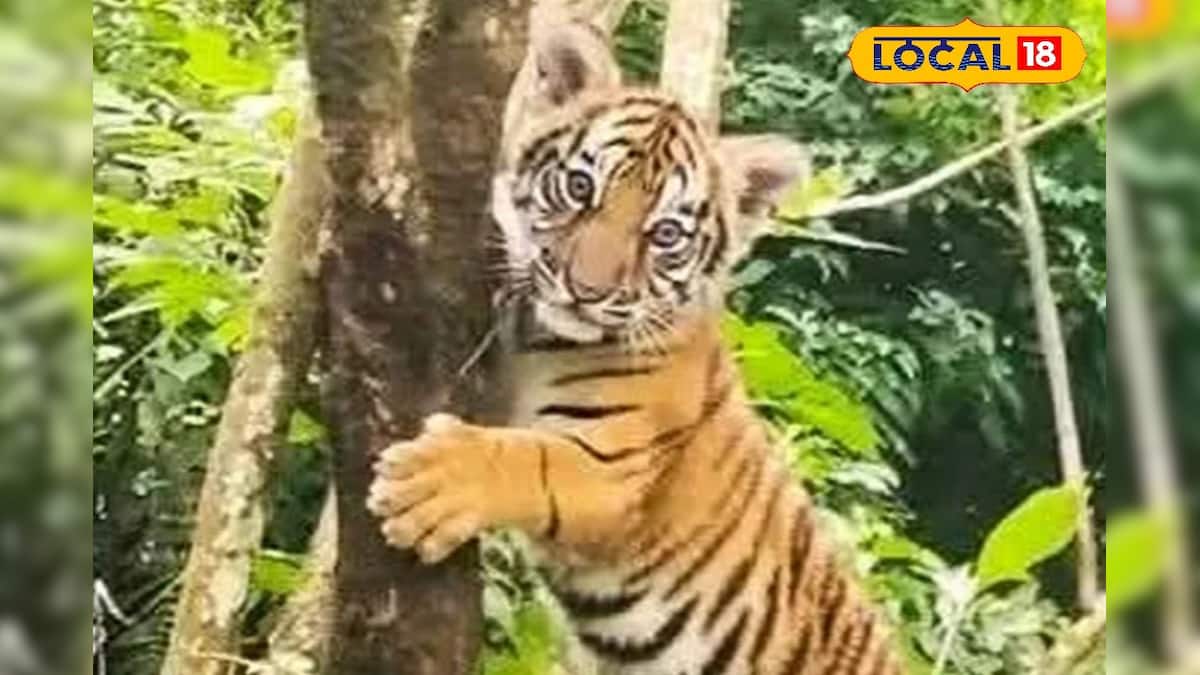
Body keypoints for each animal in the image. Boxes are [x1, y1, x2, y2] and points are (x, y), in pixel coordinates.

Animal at [366, 17, 905, 675]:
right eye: (580, 187)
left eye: (665, 234)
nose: (584, 290)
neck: (539, 341)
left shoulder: (613, 469)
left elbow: (527, 459)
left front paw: (428, 482)